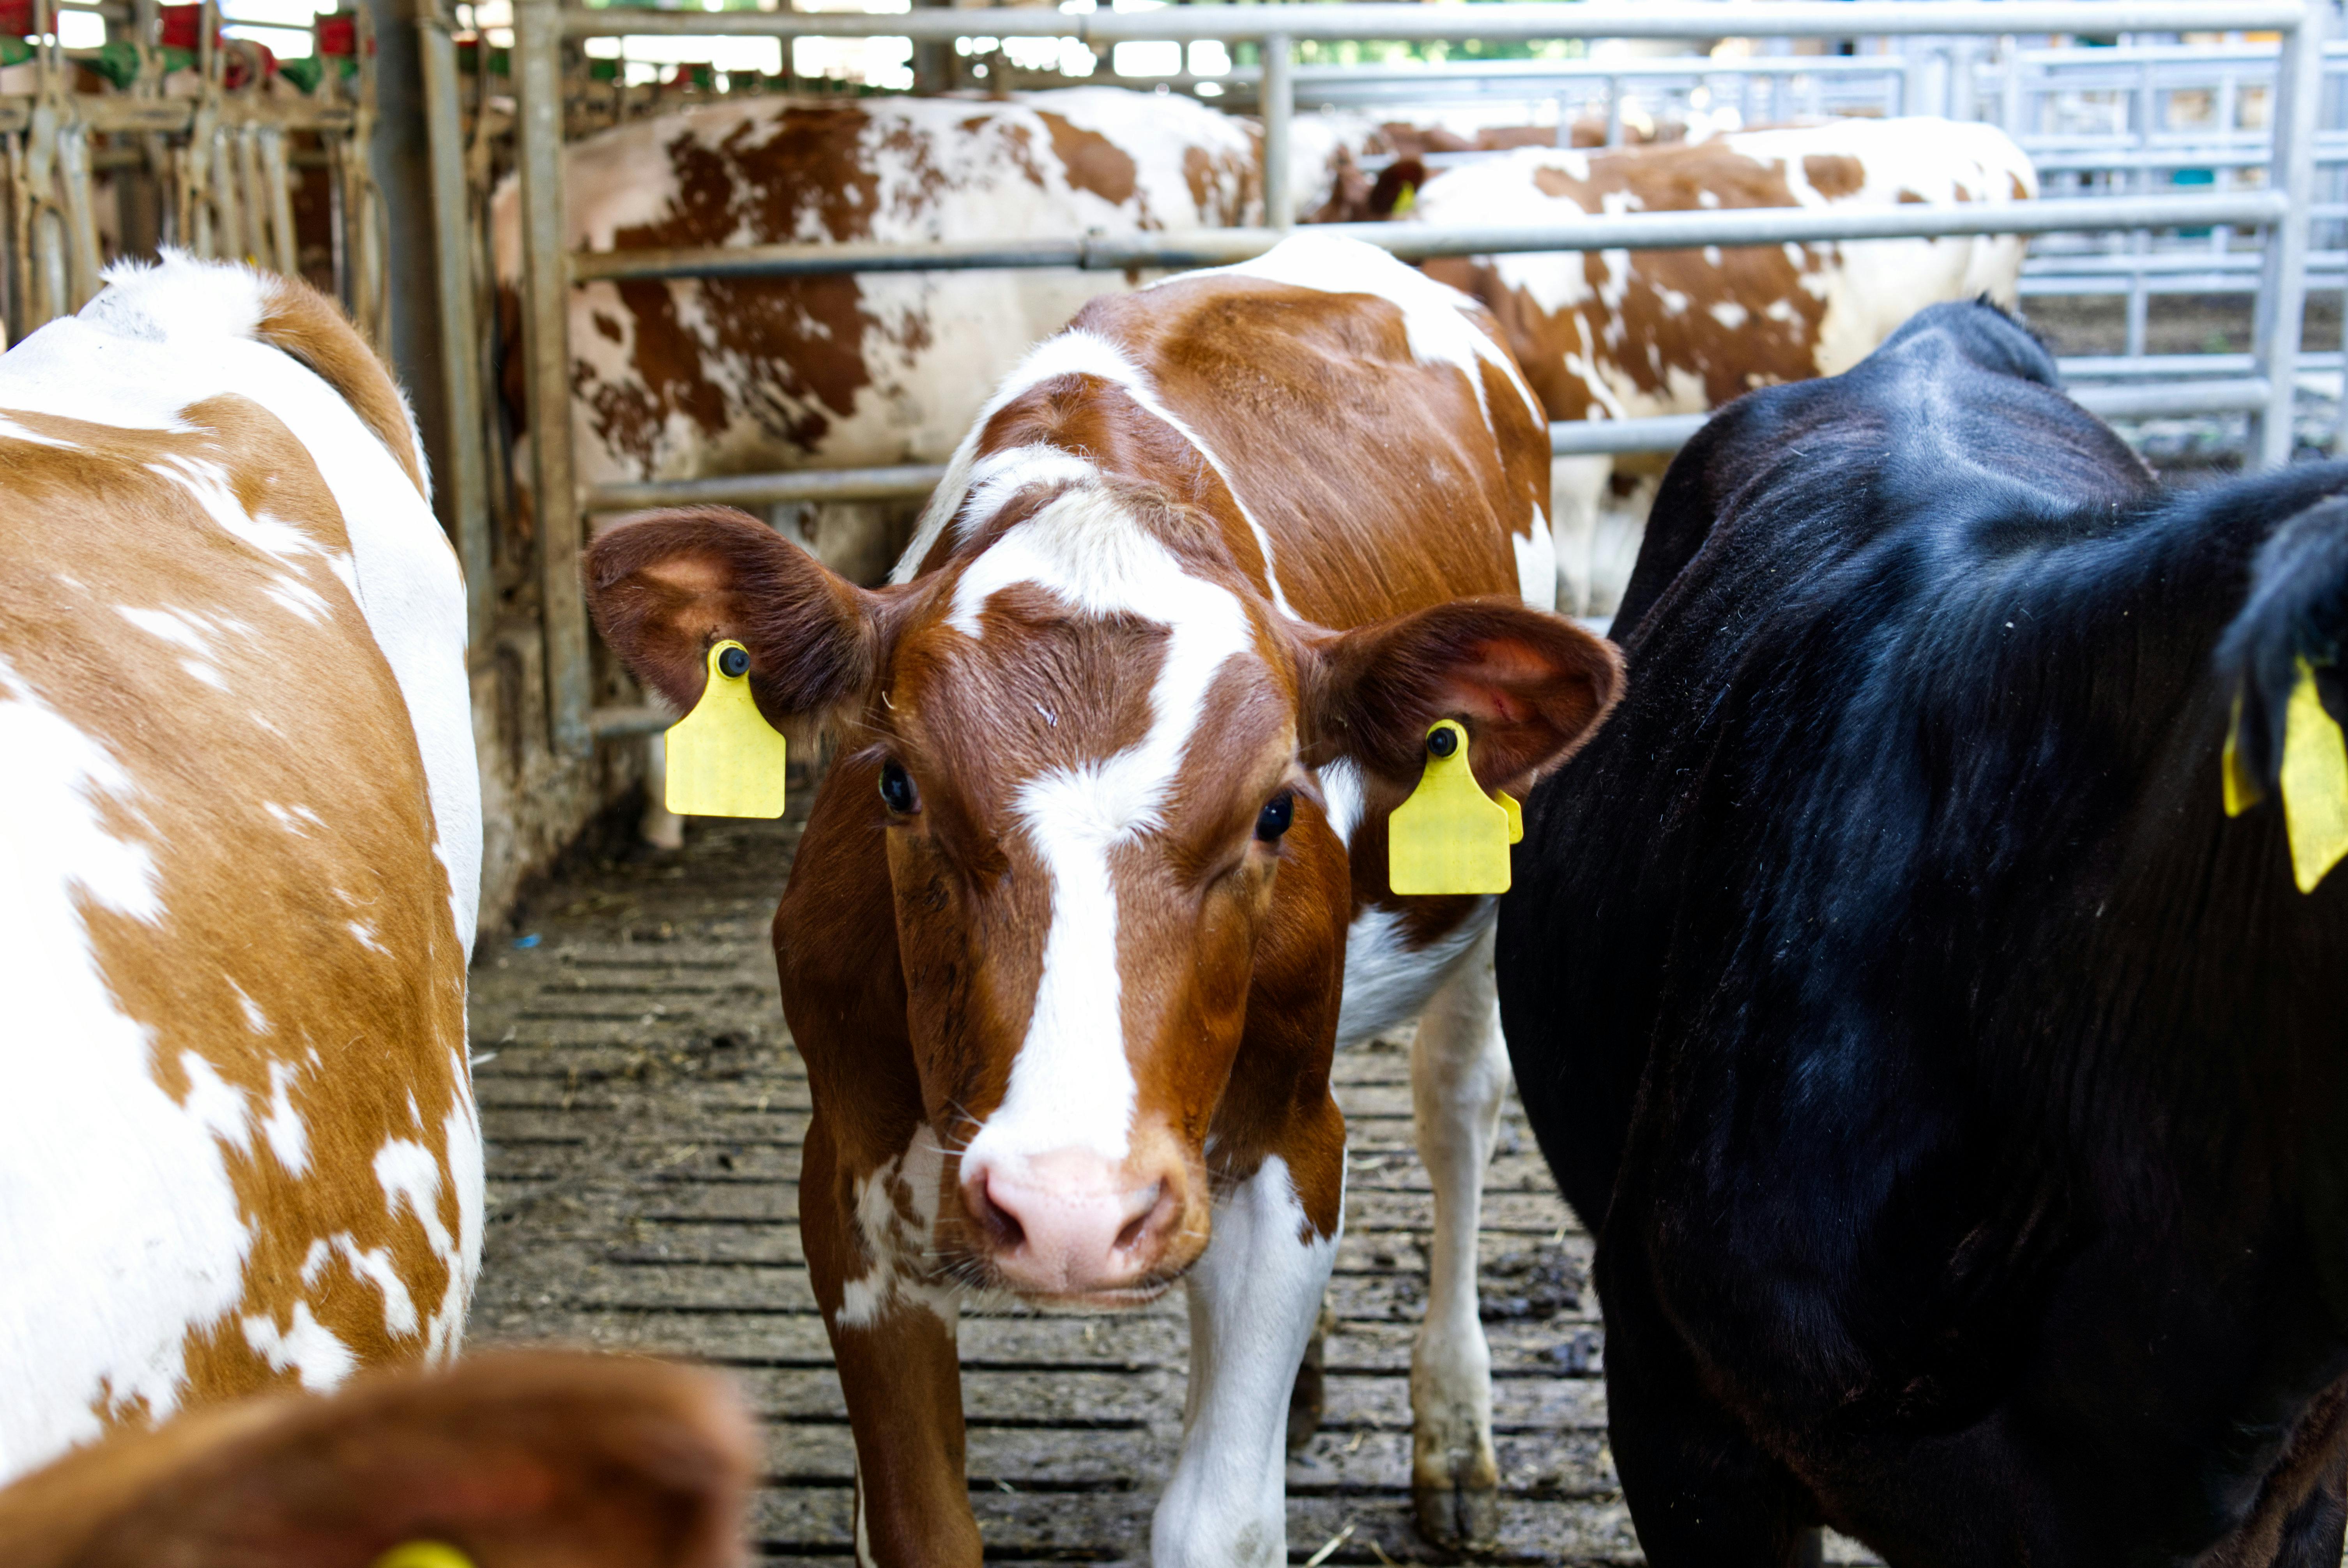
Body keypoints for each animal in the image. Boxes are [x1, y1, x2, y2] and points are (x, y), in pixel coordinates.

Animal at [580, 232, 1623, 1564]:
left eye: (1276, 810)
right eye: (897, 783)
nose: (1068, 1211)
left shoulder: (1290, 1146)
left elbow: (1216, 1522)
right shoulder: (848, 1172)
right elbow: (919, 1521)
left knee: (1457, 1109)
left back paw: (1452, 1431)